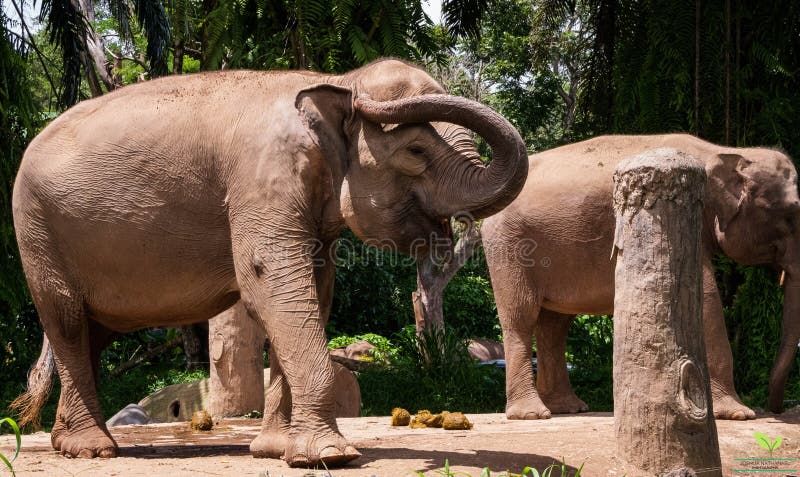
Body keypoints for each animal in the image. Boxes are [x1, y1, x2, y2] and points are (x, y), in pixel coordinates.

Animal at [10, 58, 528, 466]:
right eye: (415, 151)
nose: (368, 102)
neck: (328, 82)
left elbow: (314, 292)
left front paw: (278, 450)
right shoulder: (262, 180)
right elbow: (271, 285)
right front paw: (330, 456)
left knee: (90, 335)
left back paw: (68, 444)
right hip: (37, 232)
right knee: (68, 323)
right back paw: (92, 450)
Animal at [482, 134, 799, 421]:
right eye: (791, 214)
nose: (777, 410)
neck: (725, 150)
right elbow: (706, 298)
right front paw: (739, 415)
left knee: (554, 325)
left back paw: (567, 408)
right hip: (510, 246)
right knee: (521, 317)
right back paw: (532, 414)